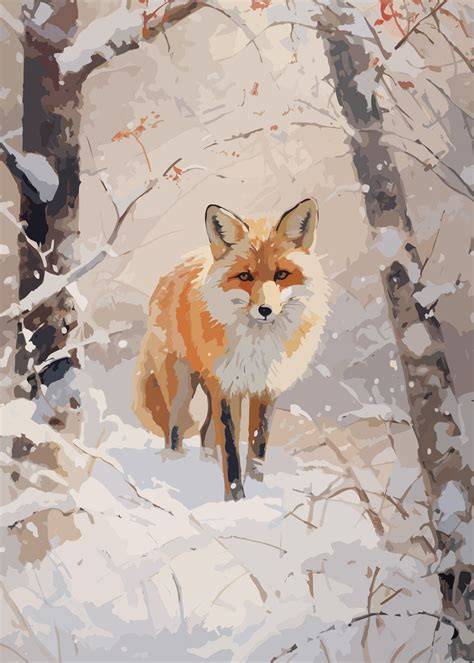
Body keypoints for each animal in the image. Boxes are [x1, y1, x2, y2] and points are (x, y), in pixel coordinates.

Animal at [133, 198, 329, 501]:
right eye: (245, 276)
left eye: (281, 274)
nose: (265, 310)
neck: (257, 347)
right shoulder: (226, 388)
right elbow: (230, 450)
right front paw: (235, 500)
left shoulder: (265, 389)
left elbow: (258, 447)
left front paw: (256, 492)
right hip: (182, 387)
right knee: (175, 431)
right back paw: (175, 468)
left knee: (204, 432)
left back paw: (204, 466)